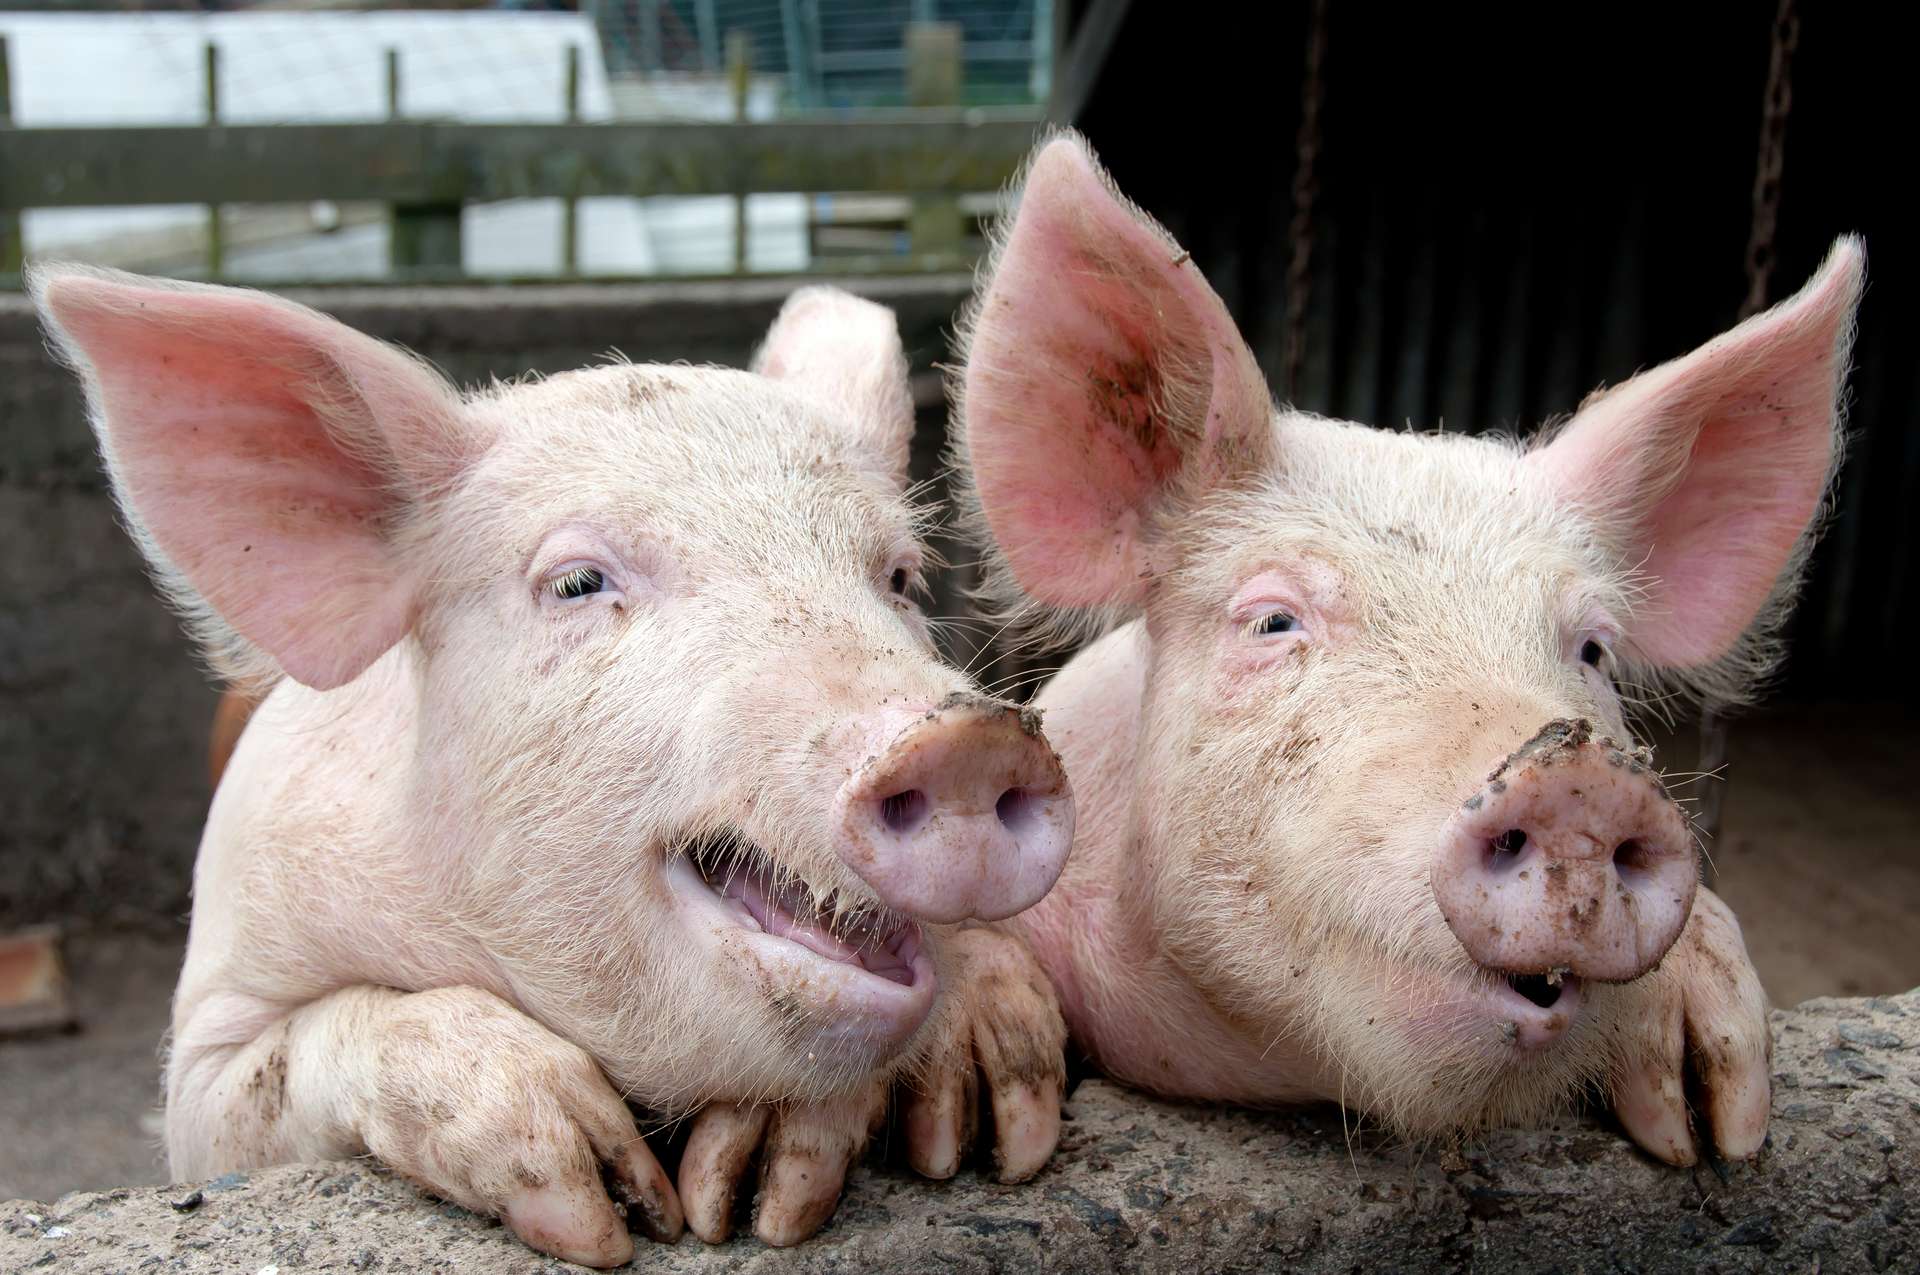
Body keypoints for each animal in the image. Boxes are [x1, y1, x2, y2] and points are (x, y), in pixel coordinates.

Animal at [33, 268, 1077, 1265]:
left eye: (899, 577)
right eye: (576, 582)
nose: (971, 739)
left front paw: (827, 1177)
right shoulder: (213, 1031)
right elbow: (274, 1070)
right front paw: (609, 1209)